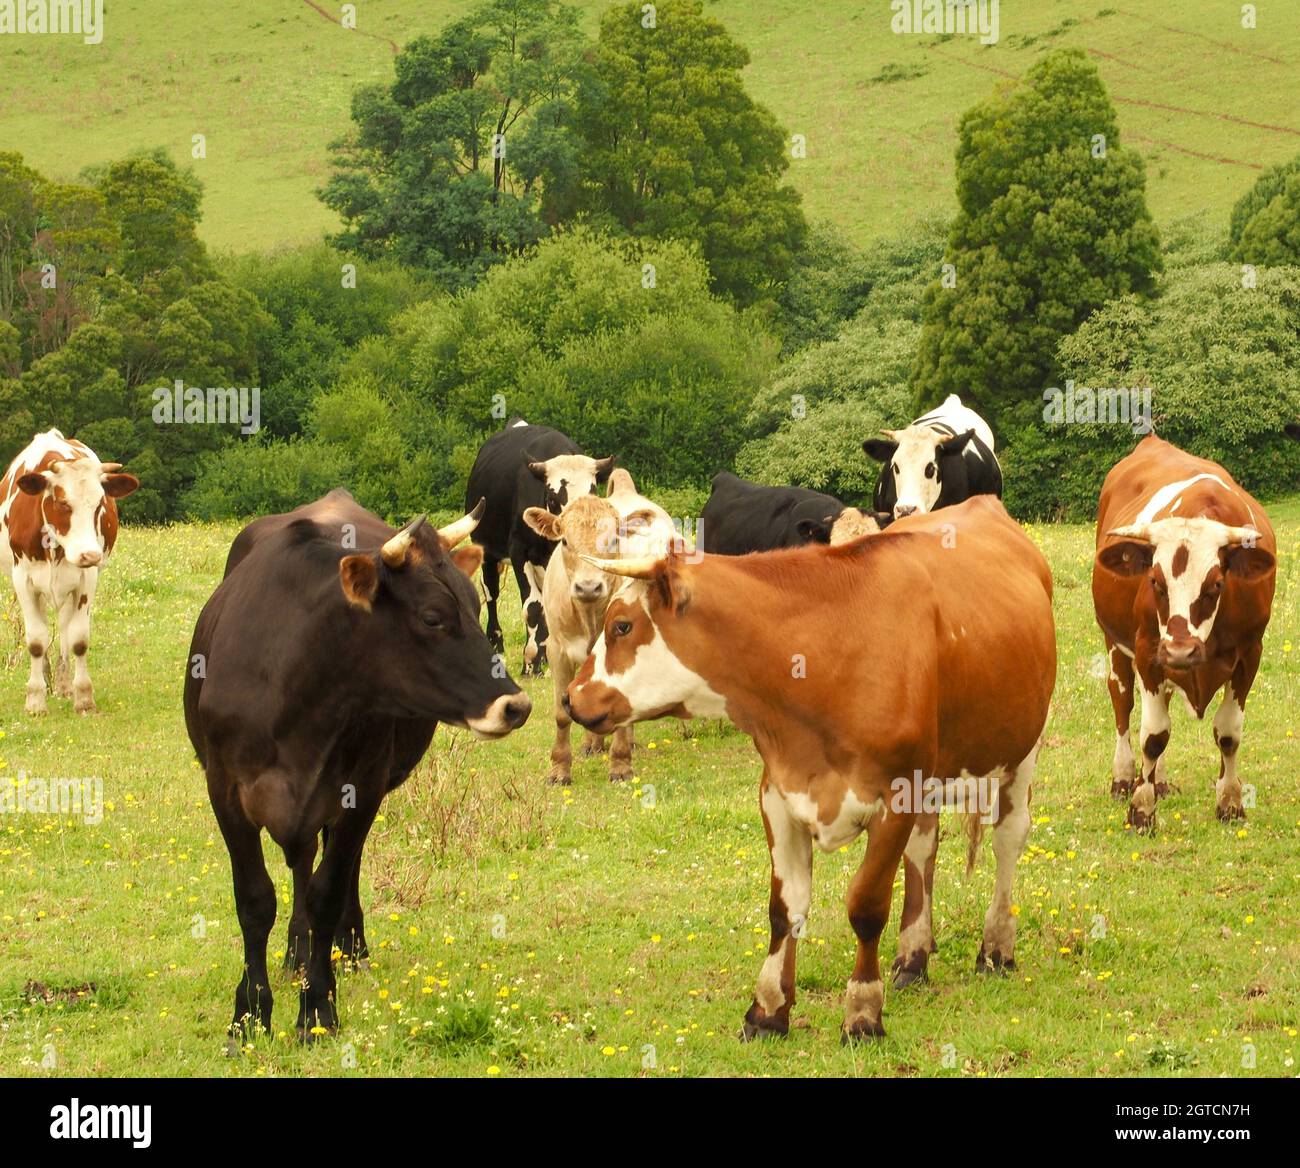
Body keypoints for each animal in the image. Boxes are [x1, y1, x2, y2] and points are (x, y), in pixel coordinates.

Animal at [0, 429, 139, 716]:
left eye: (99, 504)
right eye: (63, 503)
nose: (89, 555)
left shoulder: (86, 578)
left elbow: (78, 639)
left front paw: (83, 697)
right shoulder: (23, 579)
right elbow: (36, 640)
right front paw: (35, 700)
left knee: (64, 628)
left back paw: (63, 683)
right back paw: (47, 678)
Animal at [185, 488, 532, 1041]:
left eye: (476, 605)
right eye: (433, 617)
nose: (515, 706)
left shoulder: (361, 790)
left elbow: (328, 891)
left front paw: (317, 1010)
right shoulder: (225, 791)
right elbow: (254, 900)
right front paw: (249, 1015)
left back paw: (344, 950)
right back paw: (297, 952)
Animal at [465, 419, 613, 675]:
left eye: (593, 495)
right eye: (553, 499)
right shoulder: (519, 553)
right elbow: (533, 607)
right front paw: (531, 662)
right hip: (486, 551)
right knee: (491, 592)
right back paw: (496, 643)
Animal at [566, 495, 1056, 1041]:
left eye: (622, 626)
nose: (571, 698)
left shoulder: (896, 797)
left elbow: (866, 906)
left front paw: (862, 1012)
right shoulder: (779, 793)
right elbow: (785, 908)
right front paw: (768, 1008)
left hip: (1023, 747)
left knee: (1007, 838)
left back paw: (996, 947)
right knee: (924, 849)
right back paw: (914, 955)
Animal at [1091, 436, 1276, 834]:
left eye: (1217, 584)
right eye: (1155, 582)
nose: (1181, 651)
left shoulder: (1250, 653)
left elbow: (1228, 733)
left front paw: (1230, 802)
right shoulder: (1148, 650)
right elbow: (1154, 734)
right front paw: (1141, 810)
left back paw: (1158, 781)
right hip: (1116, 644)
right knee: (1122, 704)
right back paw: (1123, 778)